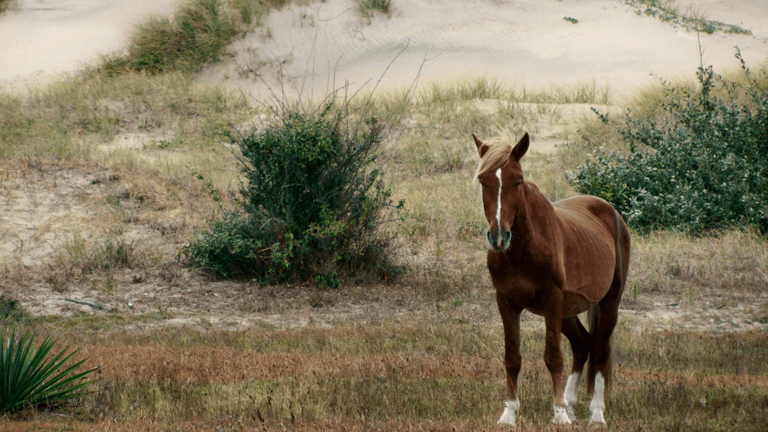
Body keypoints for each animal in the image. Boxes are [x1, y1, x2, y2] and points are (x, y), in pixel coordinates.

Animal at [472, 132, 631, 426]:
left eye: (518, 180)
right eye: (483, 181)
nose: (498, 237)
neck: (523, 250)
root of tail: (612, 213)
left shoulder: (552, 299)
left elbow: (553, 356)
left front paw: (558, 414)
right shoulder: (506, 301)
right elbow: (512, 357)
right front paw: (509, 413)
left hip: (608, 302)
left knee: (600, 349)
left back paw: (596, 413)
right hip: (565, 311)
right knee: (582, 344)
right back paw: (571, 403)